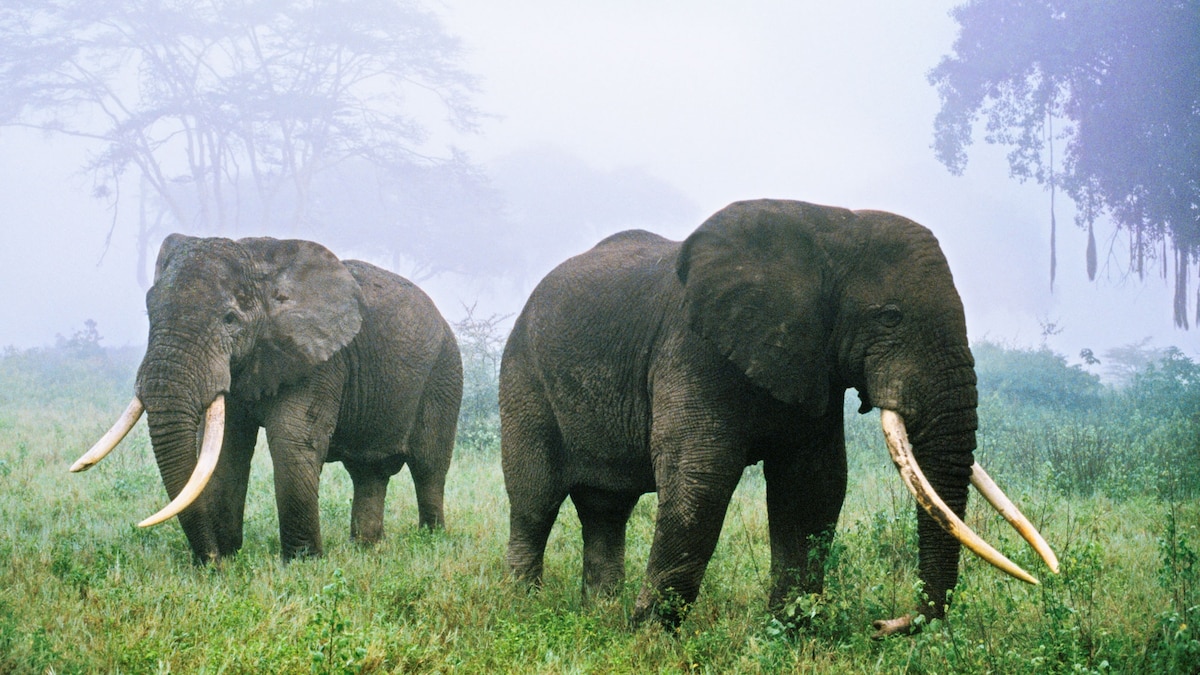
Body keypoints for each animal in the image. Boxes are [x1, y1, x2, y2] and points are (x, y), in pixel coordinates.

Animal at [72, 234, 462, 562]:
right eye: (150, 313)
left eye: (230, 319)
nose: (210, 561)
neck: (260, 259)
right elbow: (227, 450)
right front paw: (230, 556)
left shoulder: (319, 358)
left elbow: (292, 441)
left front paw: (303, 563)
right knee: (369, 471)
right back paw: (366, 548)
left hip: (445, 372)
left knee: (429, 466)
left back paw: (430, 539)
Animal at [499, 199, 1057, 637]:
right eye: (890, 317)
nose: (886, 624)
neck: (829, 225)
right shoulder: (692, 346)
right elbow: (700, 479)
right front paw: (649, 638)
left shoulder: (814, 363)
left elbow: (813, 485)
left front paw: (789, 633)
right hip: (522, 374)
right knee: (534, 499)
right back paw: (525, 609)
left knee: (606, 510)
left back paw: (599, 614)